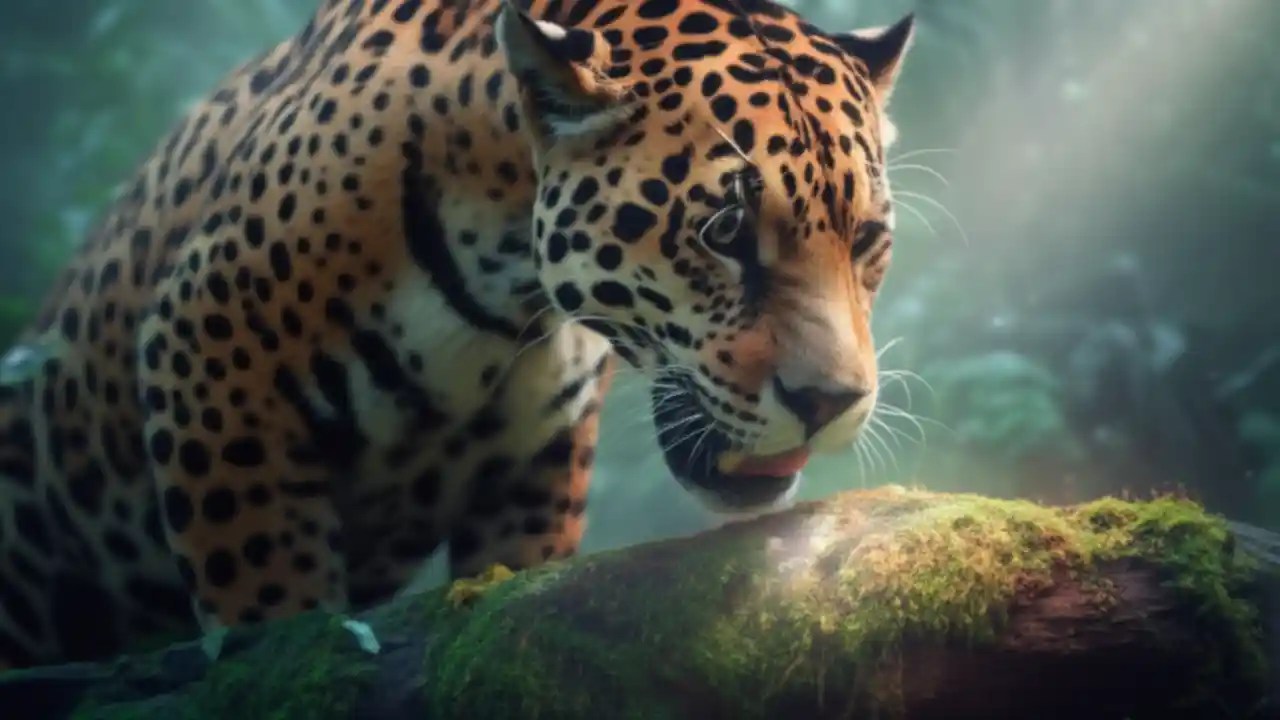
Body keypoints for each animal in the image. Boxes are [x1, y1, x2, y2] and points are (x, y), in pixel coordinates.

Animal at [0, 0, 913, 669]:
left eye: (867, 239)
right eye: (725, 233)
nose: (831, 401)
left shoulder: (533, 461)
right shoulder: (211, 350)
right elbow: (267, 604)